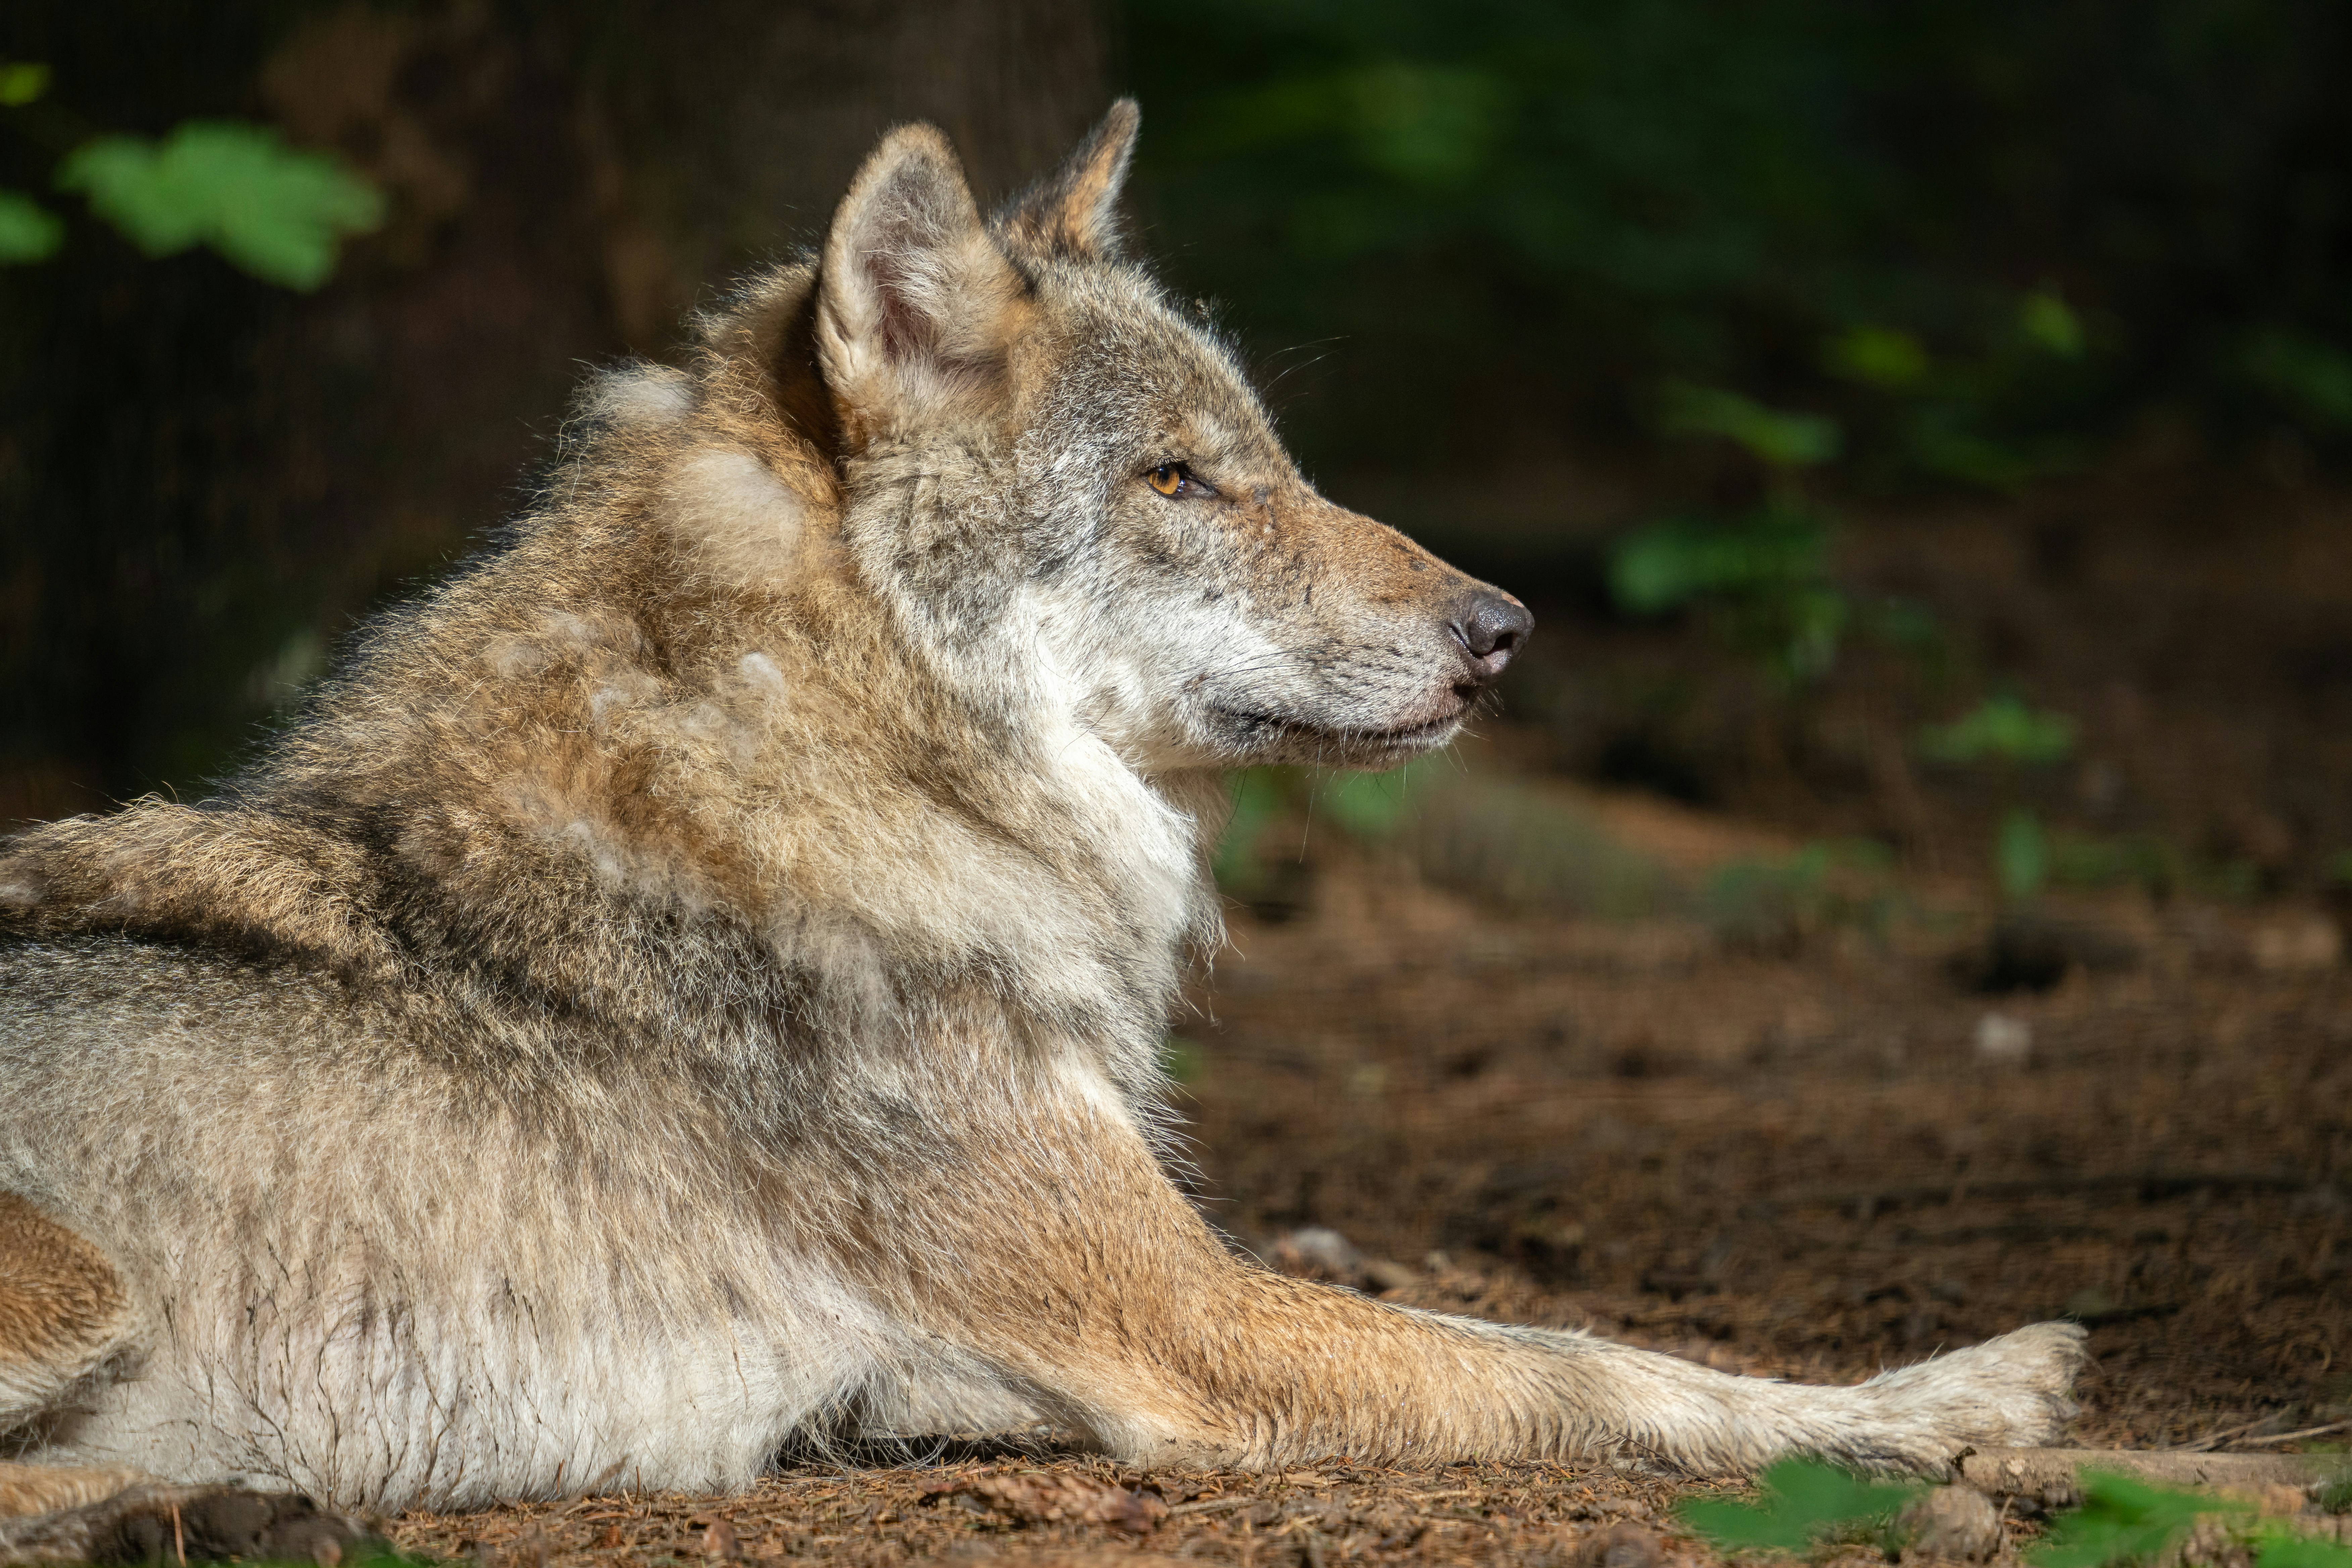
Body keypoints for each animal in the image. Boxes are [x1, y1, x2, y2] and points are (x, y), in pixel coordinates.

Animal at [0, 102, 2084, 1545]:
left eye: (1271, 460)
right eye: (1176, 480)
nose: (1506, 630)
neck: (836, 777)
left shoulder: (1041, 1343)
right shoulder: (1191, 1316)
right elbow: (1597, 1360)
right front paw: (1952, 1400)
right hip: (88, 1275)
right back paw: (197, 1501)